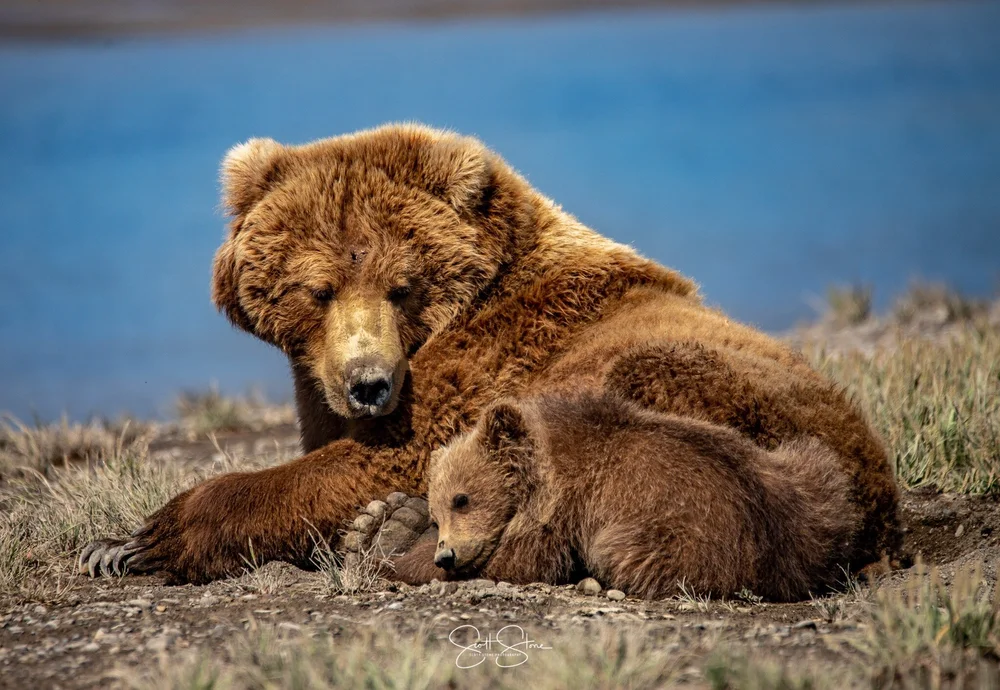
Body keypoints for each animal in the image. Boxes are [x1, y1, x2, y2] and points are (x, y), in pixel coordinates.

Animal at [424, 395, 858, 601]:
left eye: (462, 498)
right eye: (436, 512)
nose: (446, 555)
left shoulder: (567, 507)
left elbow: (524, 560)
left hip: (666, 533)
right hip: (806, 480)